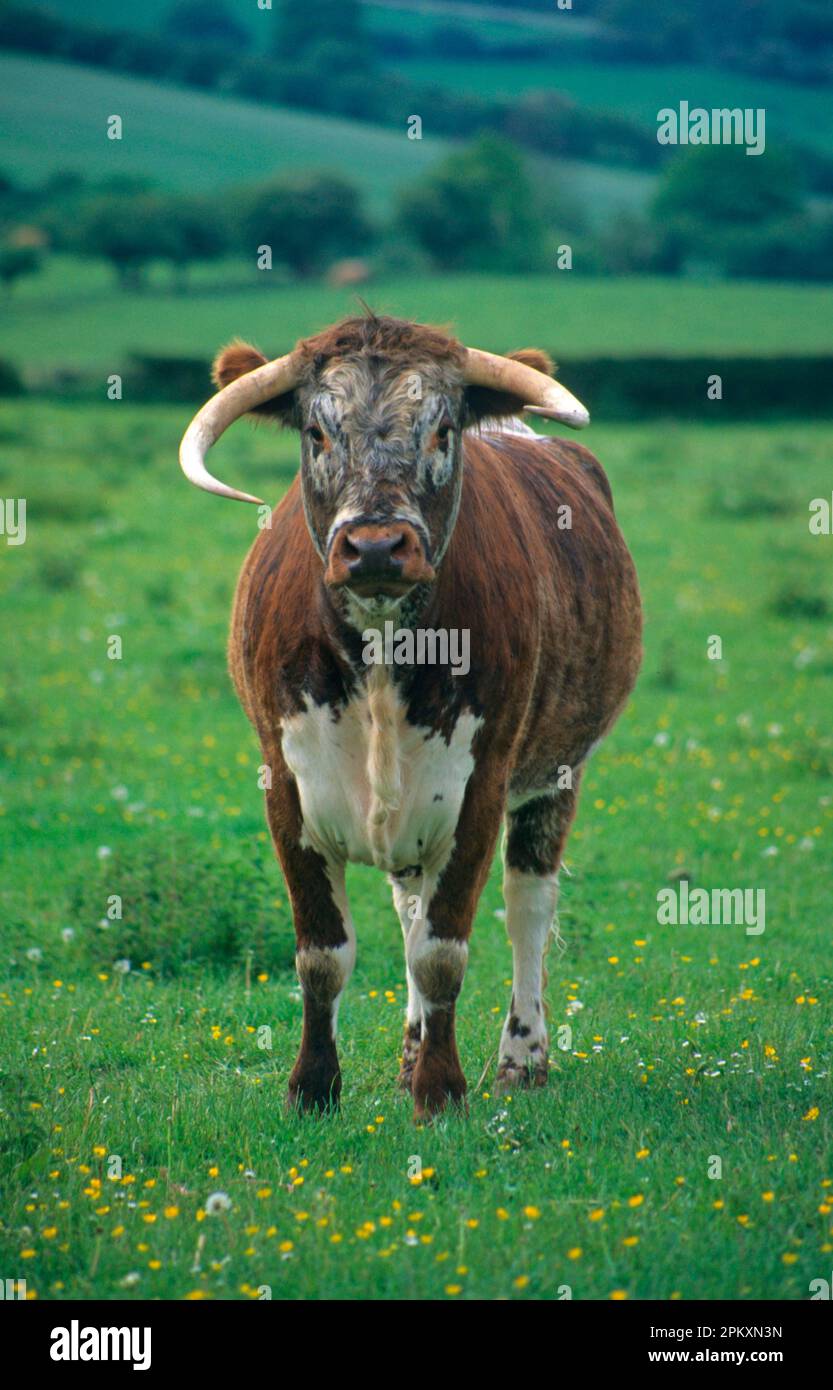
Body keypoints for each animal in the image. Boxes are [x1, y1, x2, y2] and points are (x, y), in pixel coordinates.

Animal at [179, 314, 642, 1120]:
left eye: (443, 430)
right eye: (316, 431)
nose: (374, 548)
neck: (380, 653)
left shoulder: (479, 792)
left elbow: (442, 951)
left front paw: (441, 1090)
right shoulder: (285, 789)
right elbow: (323, 954)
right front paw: (314, 1087)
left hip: (556, 777)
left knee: (528, 907)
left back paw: (521, 1058)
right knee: (409, 907)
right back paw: (408, 1051)